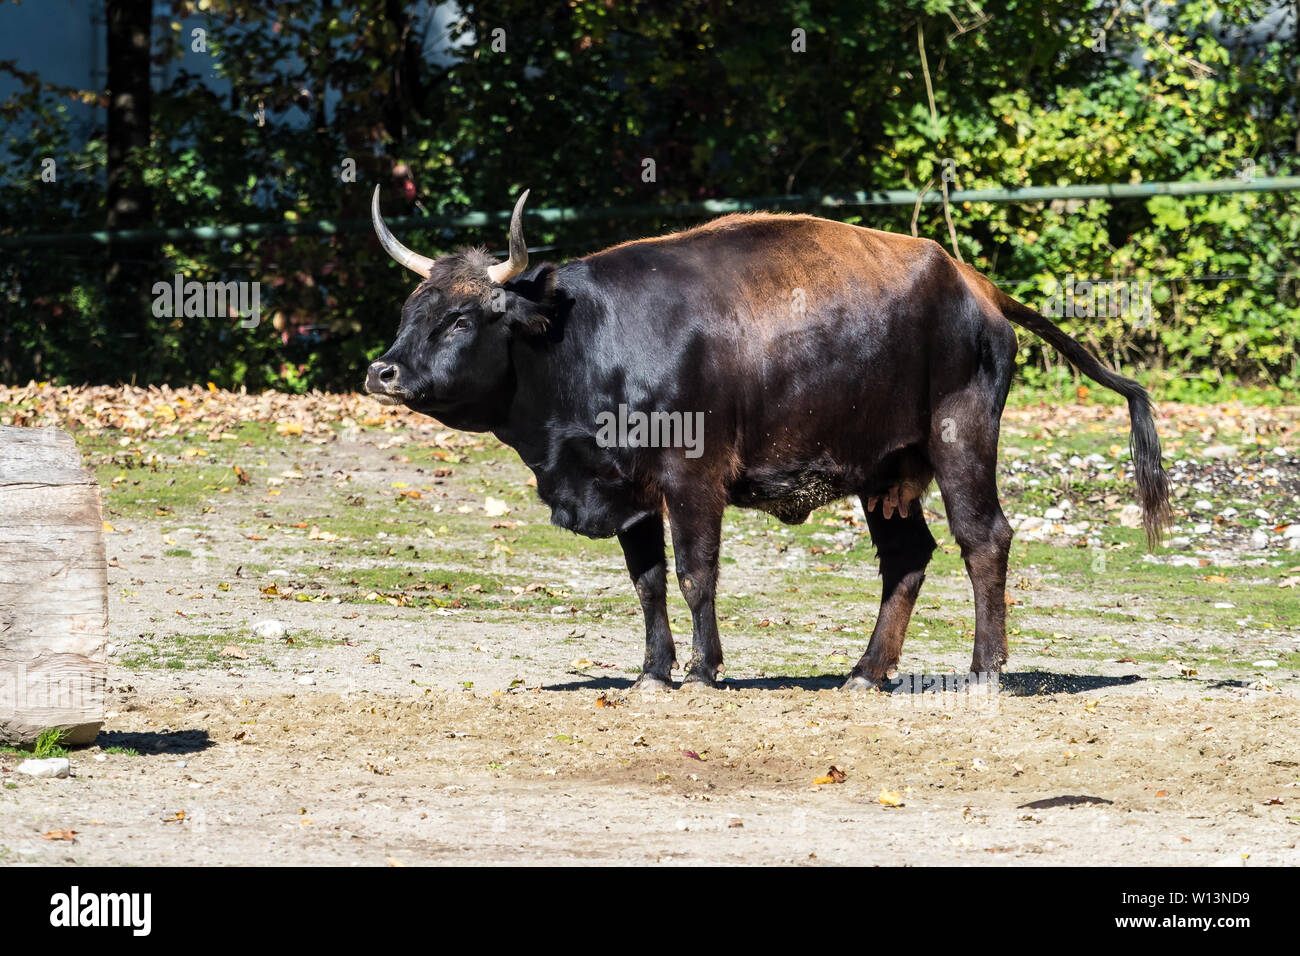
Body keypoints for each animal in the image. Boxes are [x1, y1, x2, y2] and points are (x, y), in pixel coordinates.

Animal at [364, 186, 1171, 690]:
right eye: (410, 309)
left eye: (461, 318)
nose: (383, 371)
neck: (583, 338)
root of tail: (970, 282)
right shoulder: (628, 491)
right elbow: (648, 582)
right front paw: (652, 672)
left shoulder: (691, 478)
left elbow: (695, 574)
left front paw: (700, 670)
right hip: (886, 472)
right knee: (908, 557)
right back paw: (865, 671)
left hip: (960, 441)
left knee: (984, 540)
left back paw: (983, 670)